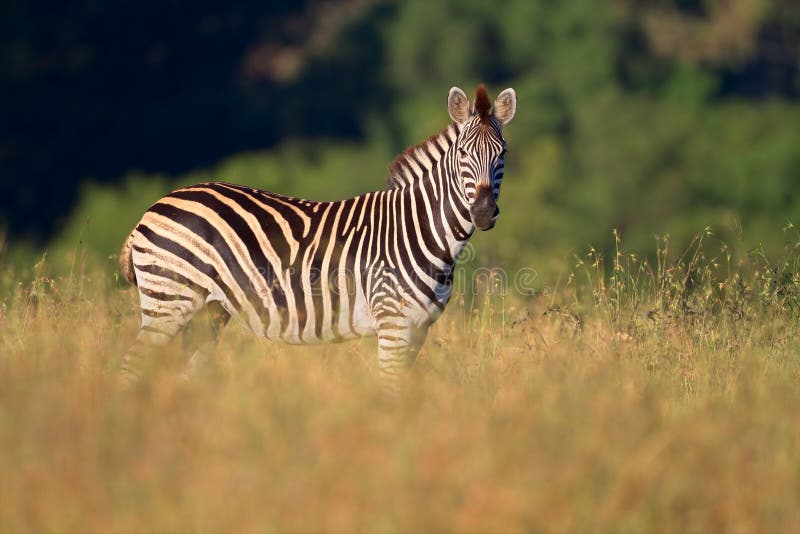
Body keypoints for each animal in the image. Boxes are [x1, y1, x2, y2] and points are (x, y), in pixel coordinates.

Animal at [118, 84, 516, 394]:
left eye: (503, 154)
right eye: (462, 153)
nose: (483, 213)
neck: (420, 230)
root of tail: (154, 207)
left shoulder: (418, 329)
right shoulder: (393, 323)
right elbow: (390, 393)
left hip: (205, 313)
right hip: (169, 301)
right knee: (131, 368)